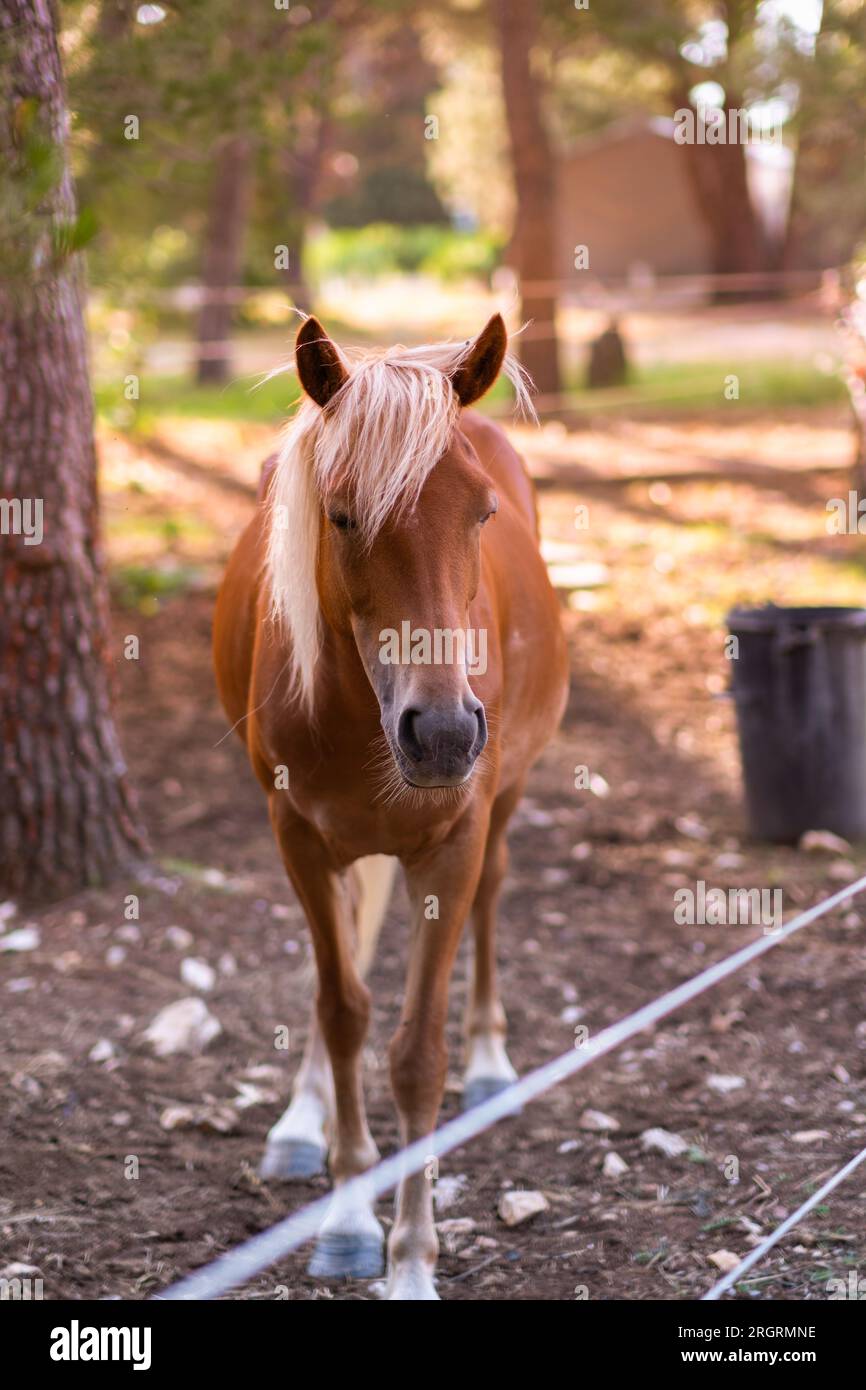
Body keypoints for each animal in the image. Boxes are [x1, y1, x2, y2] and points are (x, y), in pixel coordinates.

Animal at [213, 312, 568, 1299]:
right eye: (339, 514)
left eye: (482, 513)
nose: (441, 733)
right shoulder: (298, 837)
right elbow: (343, 1012)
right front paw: (343, 1219)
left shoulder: (452, 841)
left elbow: (416, 1057)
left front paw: (410, 1260)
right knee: (346, 961)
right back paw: (302, 1121)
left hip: (503, 800)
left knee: (494, 894)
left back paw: (491, 1065)